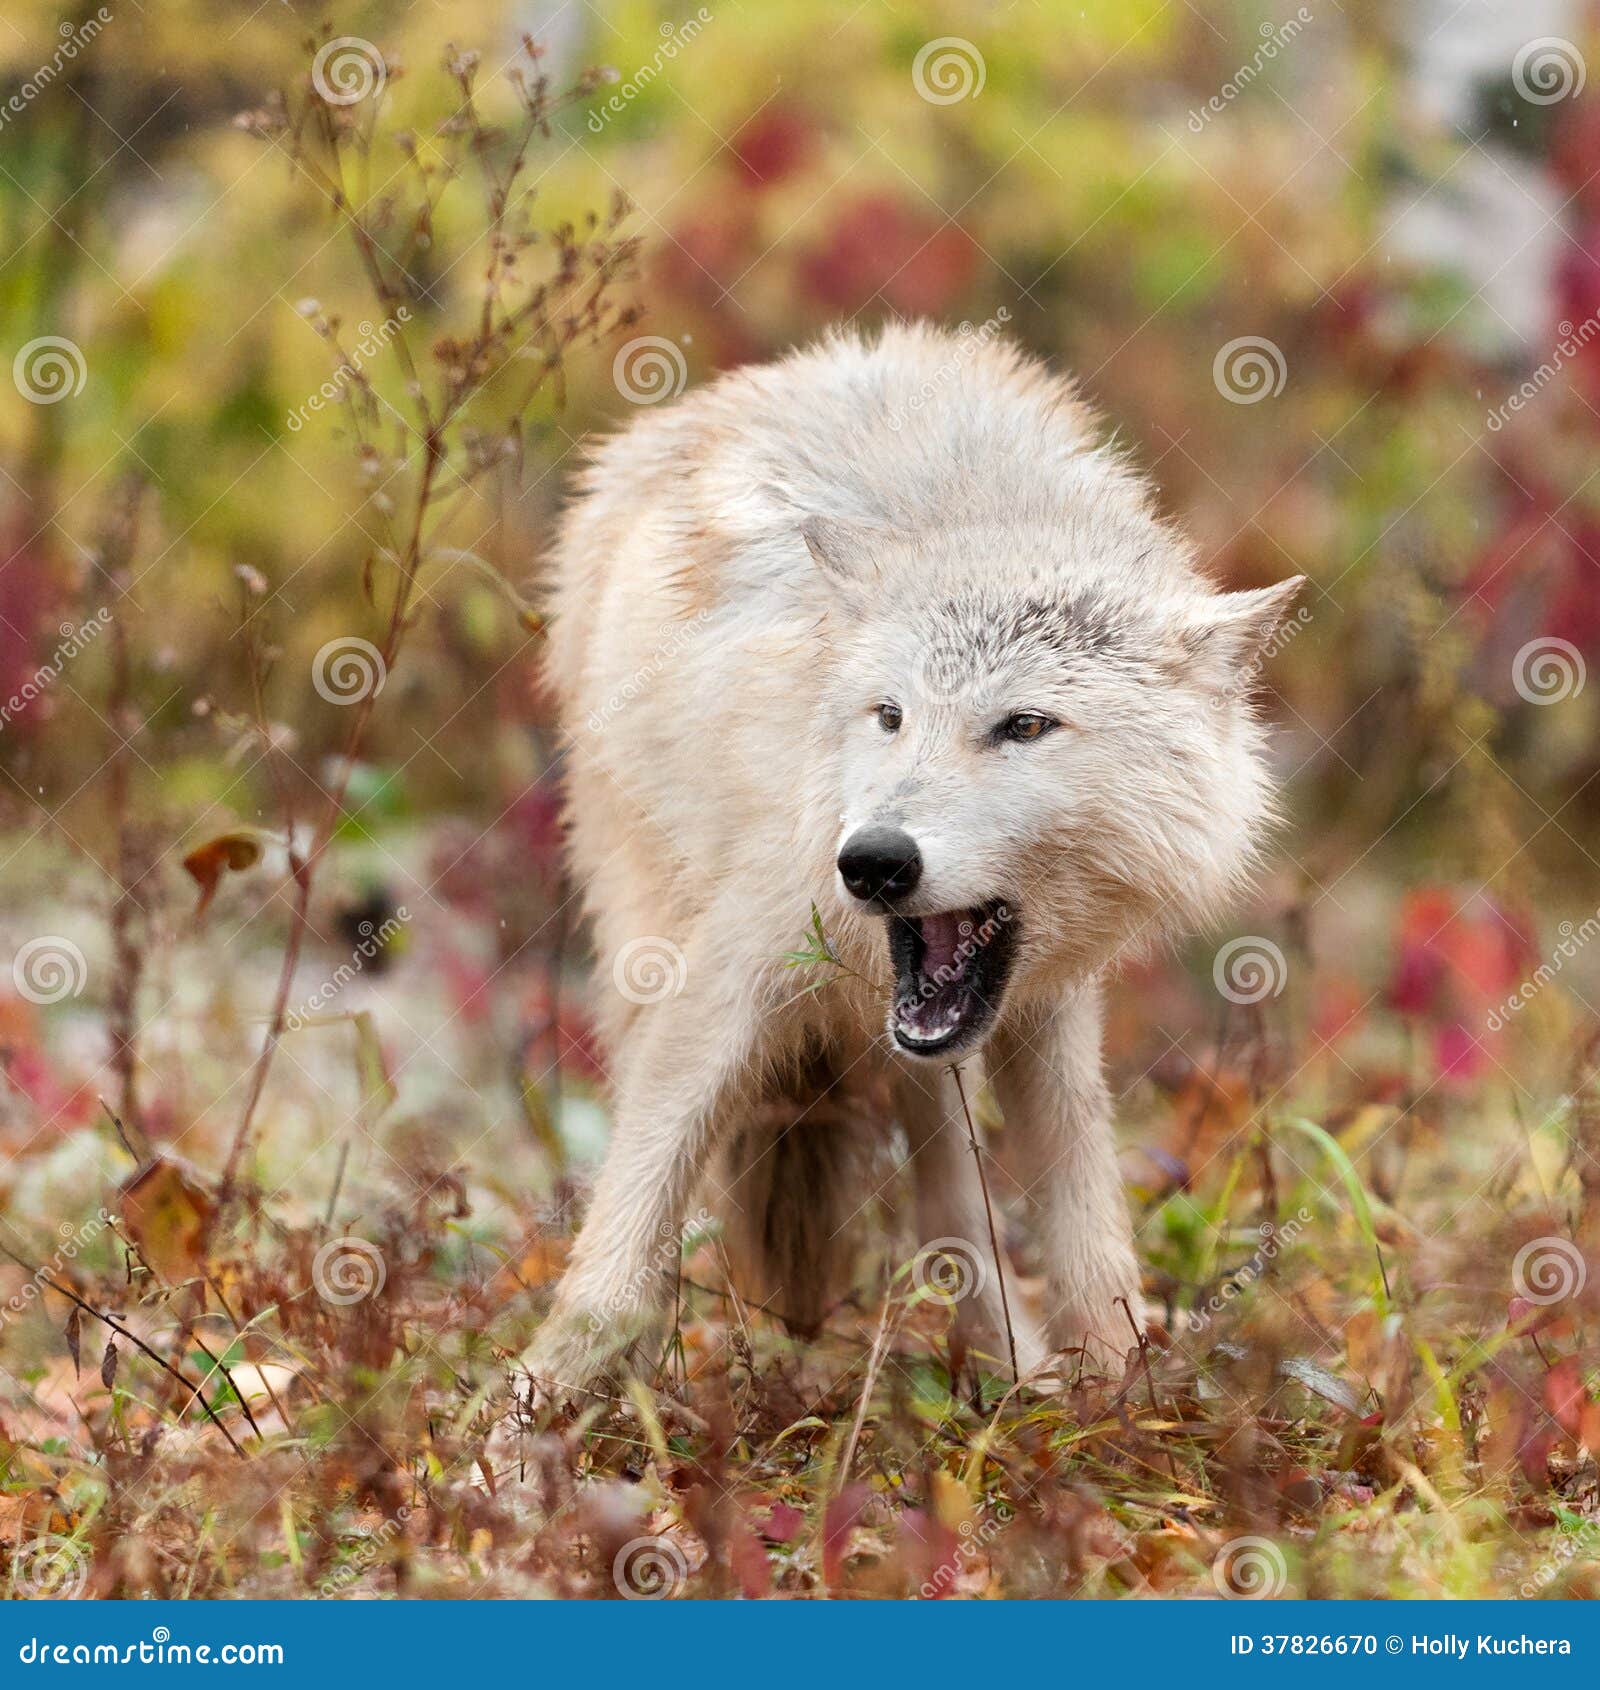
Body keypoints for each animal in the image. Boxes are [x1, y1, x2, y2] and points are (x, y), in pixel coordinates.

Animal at [525, 321, 1300, 1396]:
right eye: (890, 716)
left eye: (1025, 725)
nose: (872, 863)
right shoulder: (727, 975)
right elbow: (622, 1241)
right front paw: (518, 1426)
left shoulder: (1055, 1007)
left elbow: (1087, 1220)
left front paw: (1118, 1397)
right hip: (649, 940)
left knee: (950, 1196)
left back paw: (1008, 1373)